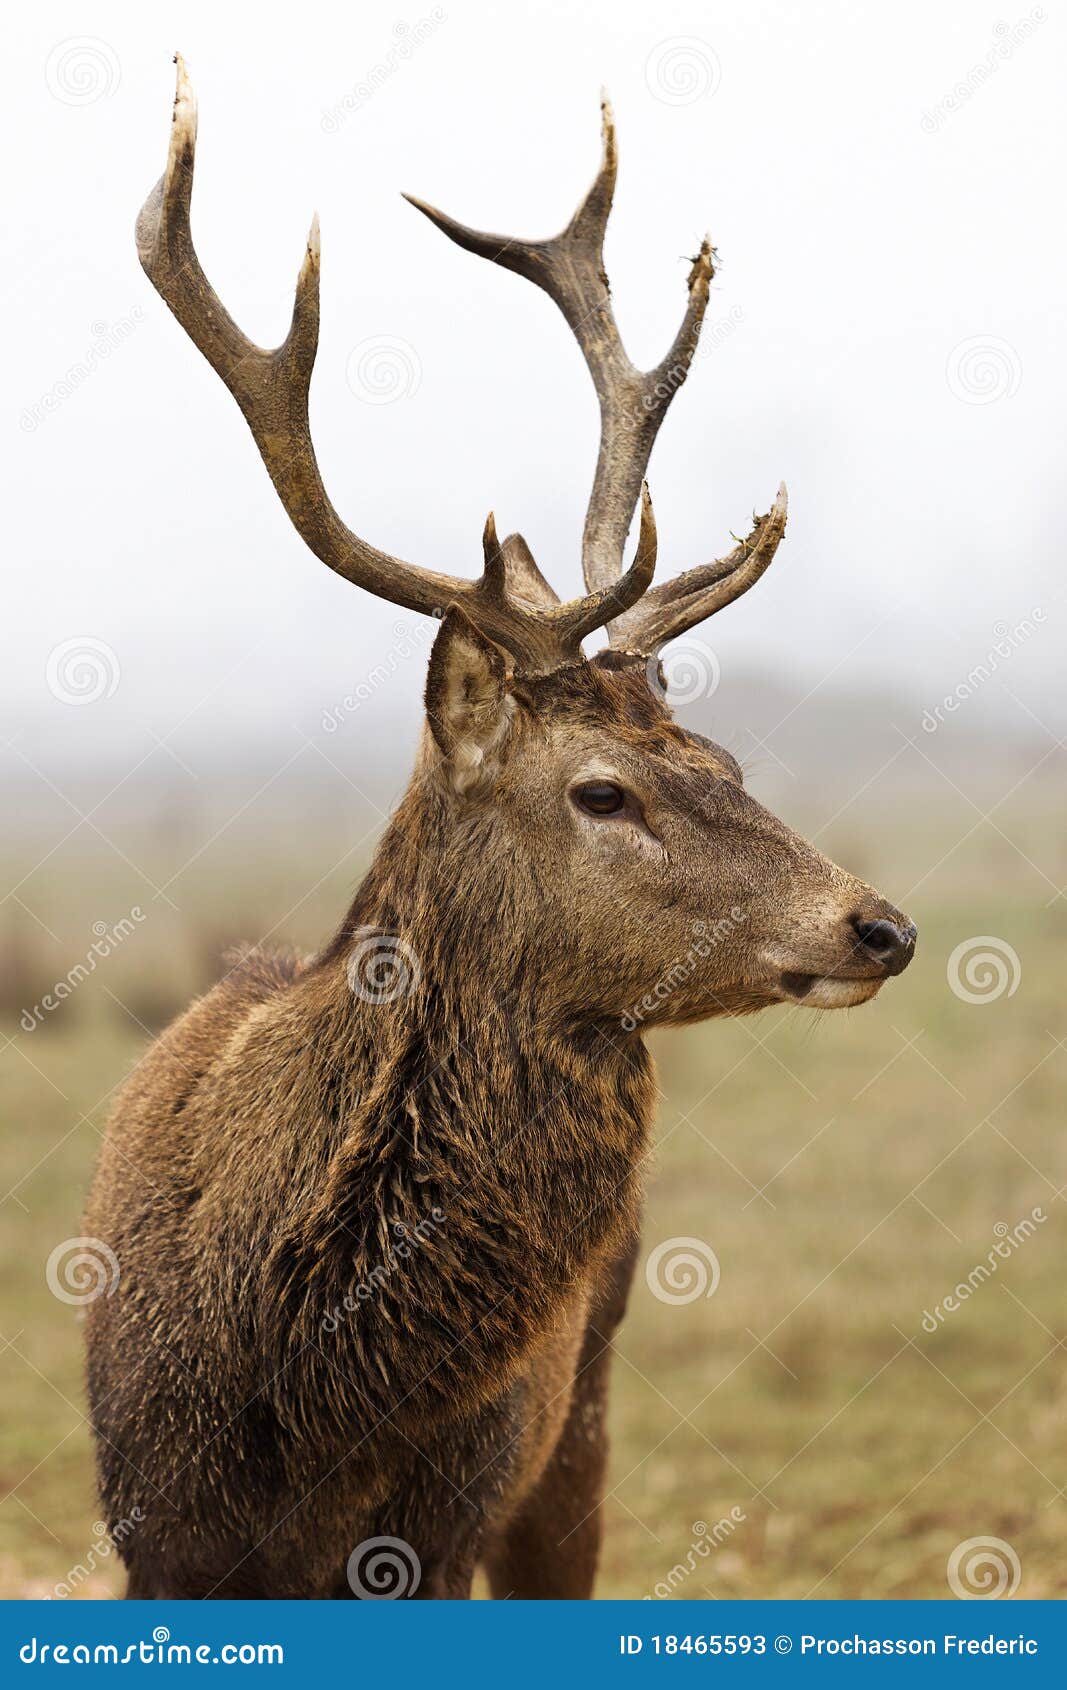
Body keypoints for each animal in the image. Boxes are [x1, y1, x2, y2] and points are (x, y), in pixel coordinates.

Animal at [84, 57, 917, 1601]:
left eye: (722, 753)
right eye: (601, 790)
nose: (876, 923)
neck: (294, 1395)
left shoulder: (449, 1504)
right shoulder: (150, 1526)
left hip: (578, 1412)